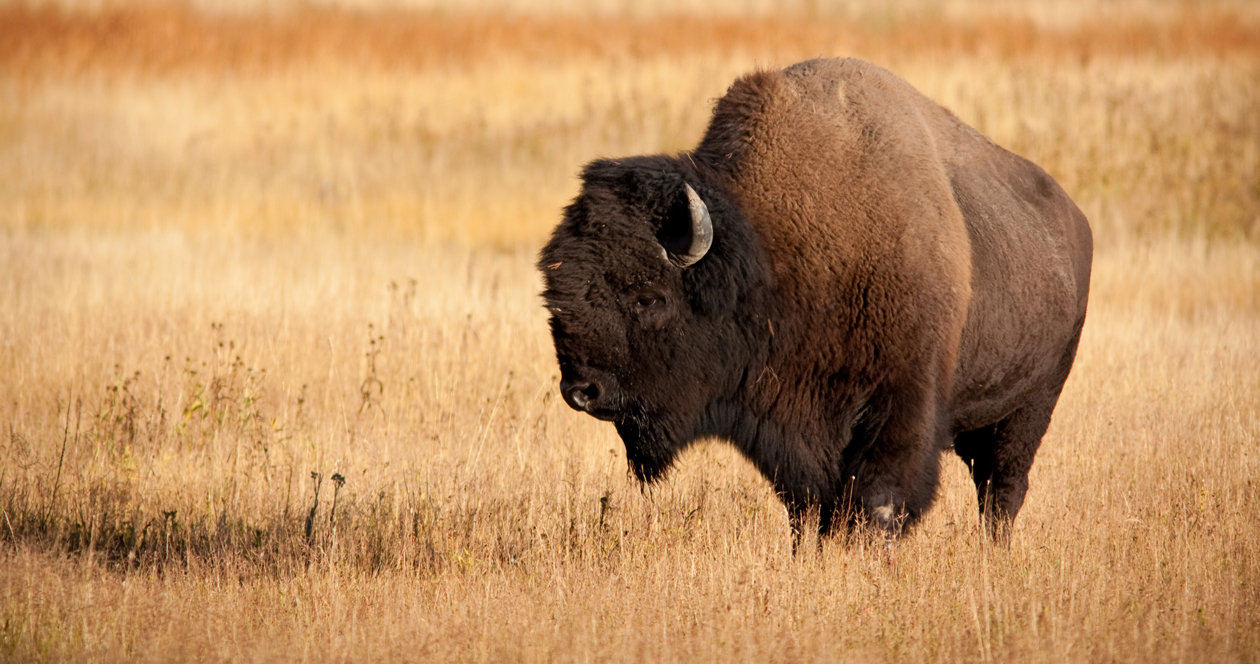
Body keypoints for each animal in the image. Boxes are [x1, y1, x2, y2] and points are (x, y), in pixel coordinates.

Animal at [539, 58, 1092, 543]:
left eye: (647, 298)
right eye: (553, 296)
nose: (581, 391)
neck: (771, 250)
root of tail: (1075, 220)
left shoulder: (902, 405)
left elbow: (880, 501)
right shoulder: (792, 432)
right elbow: (807, 508)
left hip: (1031, 405)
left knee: (1002, 488)